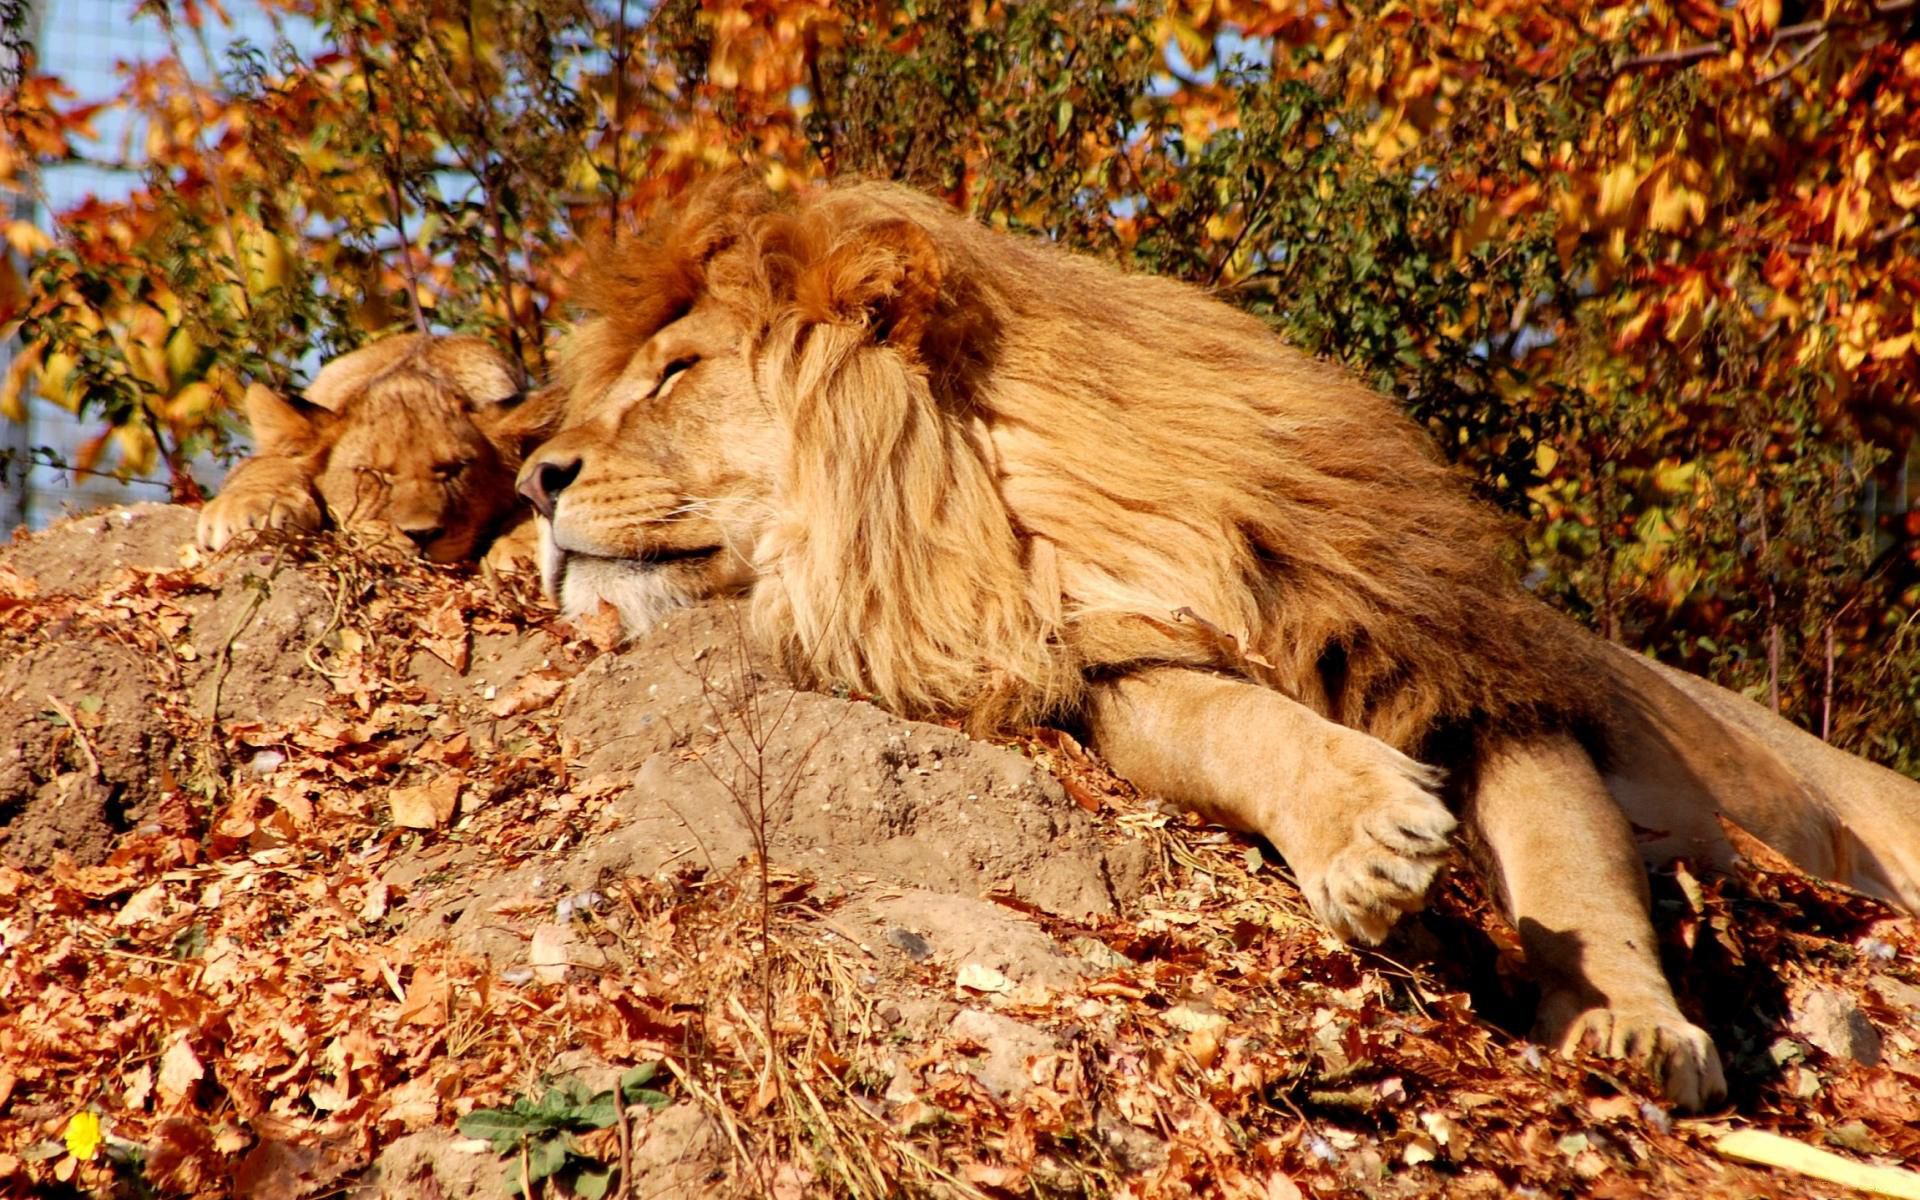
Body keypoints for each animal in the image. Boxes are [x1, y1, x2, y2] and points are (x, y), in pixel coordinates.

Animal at [195, 334, 552, 570]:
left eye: (453, 469)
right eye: (374, 474)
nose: (422, 535)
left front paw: (525, 547)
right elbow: (268, 465)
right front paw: (242, 510)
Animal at [514, 175, 1920, 1111]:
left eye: (678, 373)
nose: (535, 479)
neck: (1019, 512)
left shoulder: (1467, 668)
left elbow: (1576, 868)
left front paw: (1634, 1029)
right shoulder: (1103, 664)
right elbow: (1233, 719)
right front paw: (1372, 837)